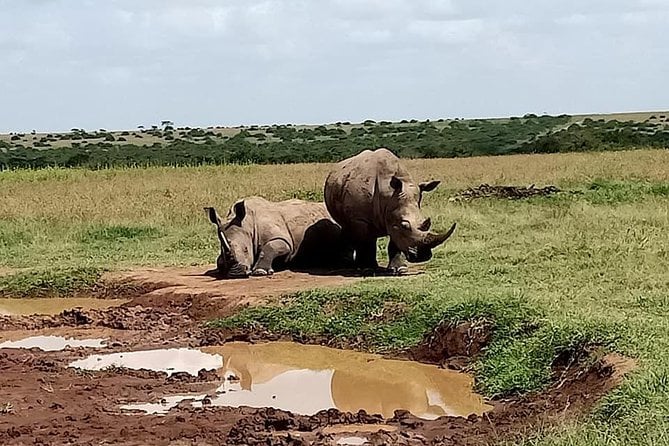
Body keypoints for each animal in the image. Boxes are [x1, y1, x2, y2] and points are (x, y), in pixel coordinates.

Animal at [205, 196, 353, 278]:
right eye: (224, 252)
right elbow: (218, 260)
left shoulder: (284, 241)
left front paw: (260, 272)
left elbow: (270, 246)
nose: (236, 273)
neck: (247, 223)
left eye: (246, 250)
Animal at [324, 148, 456, 274]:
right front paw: (366, 269)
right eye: (405, 225)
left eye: (426, 223)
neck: (388, 195)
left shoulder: (394, 217)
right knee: (348, 227)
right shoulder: (360, 218)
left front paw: (399, 269)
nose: (422, 257)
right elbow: (364, 241)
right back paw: (348, 264)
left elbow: (394, 243)